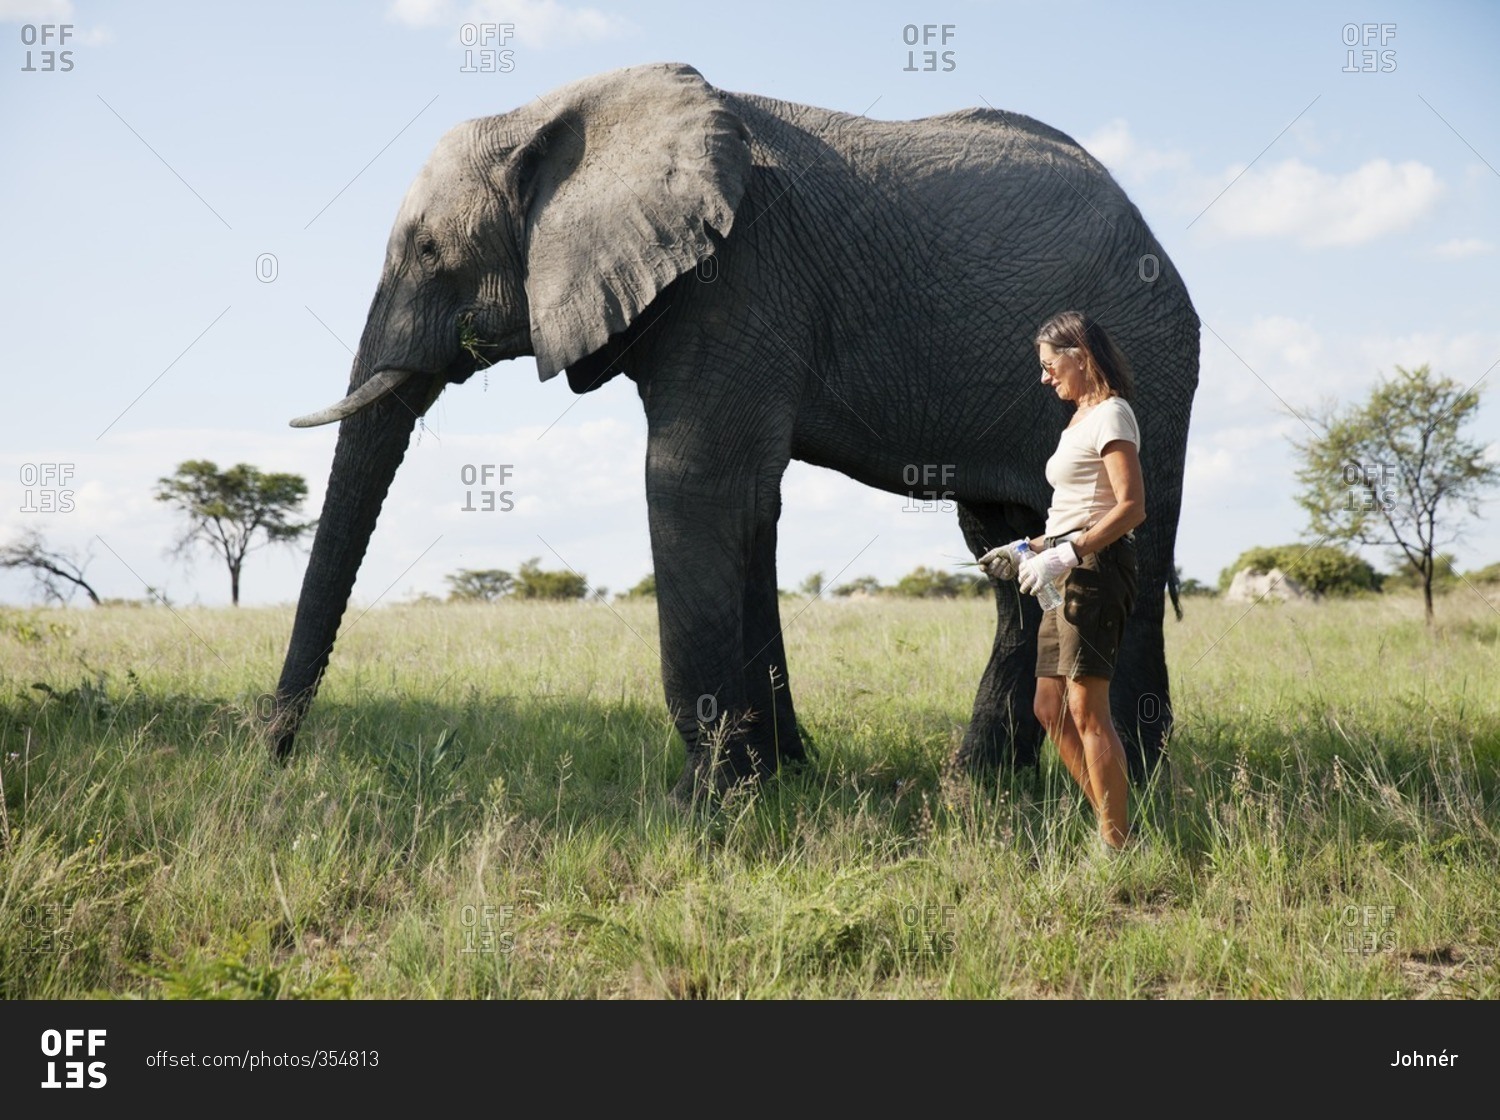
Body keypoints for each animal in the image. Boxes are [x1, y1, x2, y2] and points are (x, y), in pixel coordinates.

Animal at [271, 61, 1199, 802]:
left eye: (430, 251)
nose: (276, 754)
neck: (548, 112)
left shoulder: (741, 276)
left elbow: (692, 484)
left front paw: (702, 806)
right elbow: (750, 509)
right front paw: (777, 777)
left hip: (1149, 359)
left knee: (1133, 546)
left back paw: (1141, 785)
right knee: (1003, 550)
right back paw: (975, 786)